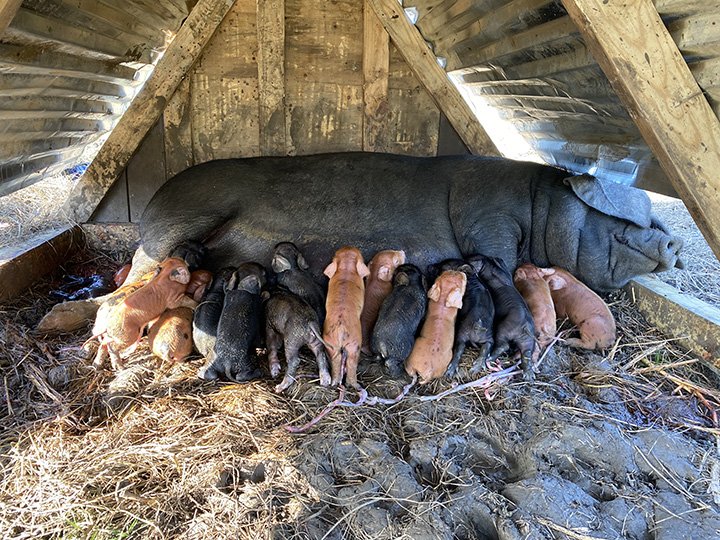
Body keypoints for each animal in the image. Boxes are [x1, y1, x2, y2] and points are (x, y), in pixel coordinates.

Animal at [322, 246, 370, 389]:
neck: (346, 269)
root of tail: (341, 328)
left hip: (331, 344)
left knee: (336, 361)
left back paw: (334, 382)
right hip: (354, 344)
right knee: (351, 363)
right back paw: (354, 385)